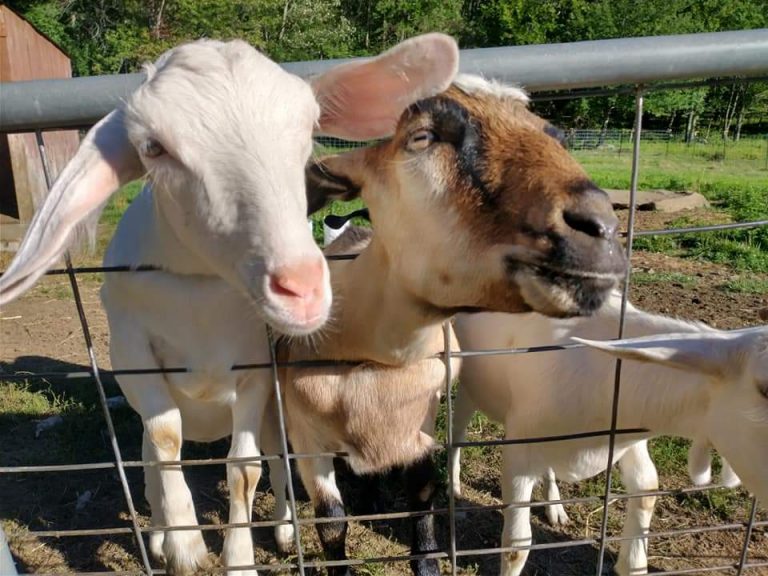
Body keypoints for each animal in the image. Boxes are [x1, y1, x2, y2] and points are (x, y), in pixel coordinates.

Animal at [0, 36, 460, 575]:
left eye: (308, 129)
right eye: (153, 148)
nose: (302, 287)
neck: (200, 295)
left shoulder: (257, 368)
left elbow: (244, 470)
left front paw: (238, 559)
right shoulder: (132, 358)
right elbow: (165, 444)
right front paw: (184, 546)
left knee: (277, 461)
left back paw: (284, 530)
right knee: (150, 462)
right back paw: (159, 537)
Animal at [279, 74, 628, 576]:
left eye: (557, 136)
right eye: (422, 137)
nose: (600, 230)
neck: (368, 358)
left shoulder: (421, 424)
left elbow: (423, 502)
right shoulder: (309, 441)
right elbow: (331, 524)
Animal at [452, 291, 768, 576]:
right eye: (764, 388)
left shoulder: (626, 437)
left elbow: (647, 490)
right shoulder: (521, 450)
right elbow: (517, 546)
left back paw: (555, 506)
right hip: (468, 388)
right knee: (457, 433)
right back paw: (453, 487)